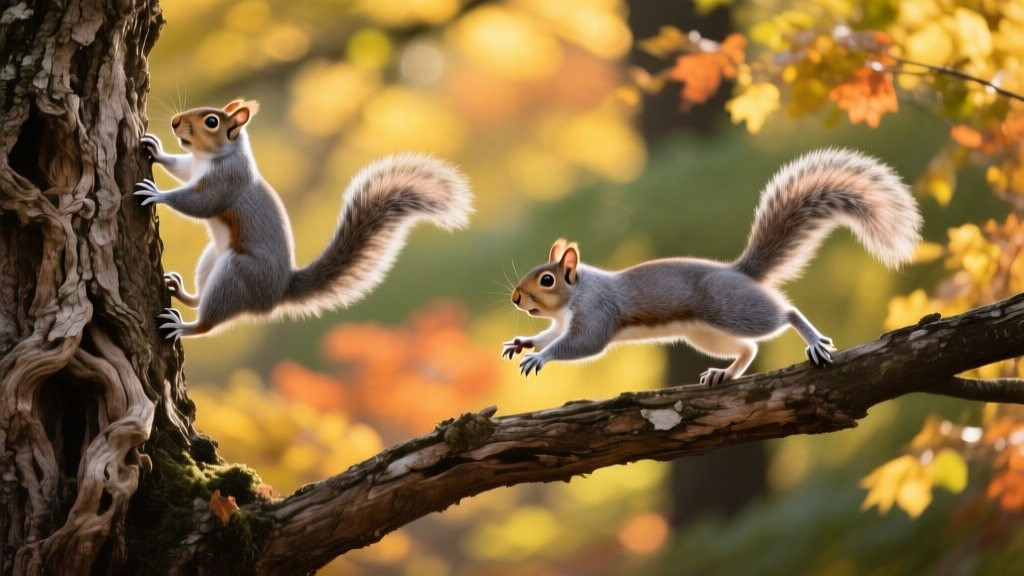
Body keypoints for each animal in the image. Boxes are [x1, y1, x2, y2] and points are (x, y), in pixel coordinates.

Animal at [135, 99, 473, 339]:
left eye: (211, 121)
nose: (175, 122)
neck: (211, 158)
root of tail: (278, 293)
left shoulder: (227, 182)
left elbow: (201, 204)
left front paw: (157, 193)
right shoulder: (193, 168)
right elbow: (180, 167)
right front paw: (156, 150)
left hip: (237, 274)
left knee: (211, 319)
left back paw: (185, 327)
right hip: (211, 259)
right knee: (201, 297)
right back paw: (181, 292)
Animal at [501, 148, 922, 385]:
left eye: (547, 279)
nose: (516, 299)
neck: (575, 297)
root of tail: (740, 272)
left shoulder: (596, 312)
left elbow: (581, 344)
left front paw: (539, 357)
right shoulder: (559, 324)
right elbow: (548, 335)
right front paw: (522, 343)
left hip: (732, 310)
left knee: (784, 313)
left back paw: (813, 341)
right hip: (706, 335)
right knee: (748, 348)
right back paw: (724, 373)